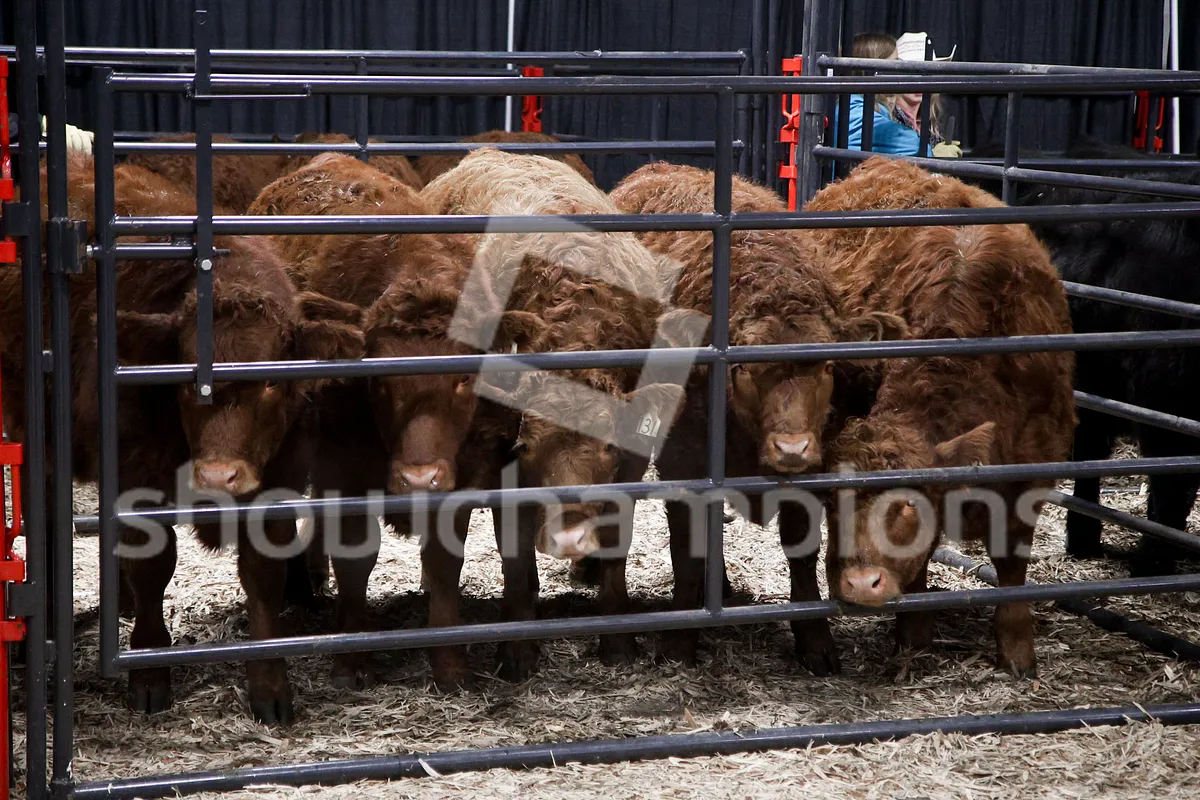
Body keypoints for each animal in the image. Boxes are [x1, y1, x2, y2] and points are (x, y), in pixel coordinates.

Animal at [0, 151, 362, 725]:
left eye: (271, 381)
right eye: (186, 378)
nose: (218, 475)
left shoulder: (278, 479)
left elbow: (262, 574)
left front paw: (270, 682)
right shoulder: (138, 474)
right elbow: (154, 567)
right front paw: (149, 671)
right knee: (47, 524)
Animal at [421, 147, 690, 666]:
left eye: (608, 447)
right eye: (526, 447)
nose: (569, 541)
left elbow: (617, 542)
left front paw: (617, 637)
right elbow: (512, 549)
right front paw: (518, 648)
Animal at [610, 162, 905, 673]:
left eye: (827, 367)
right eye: (745, 367)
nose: (791, 448)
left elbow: (801, 552)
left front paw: (815, 640)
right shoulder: (684, 466)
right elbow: (687, 553)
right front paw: (678, 640)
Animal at [804, 157, 1076, 678]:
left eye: (909, 503)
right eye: (830, 501)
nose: (860, 584)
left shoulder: (1030, 469)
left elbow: (1012, 563)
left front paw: (1017, 650)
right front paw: (914, 635)